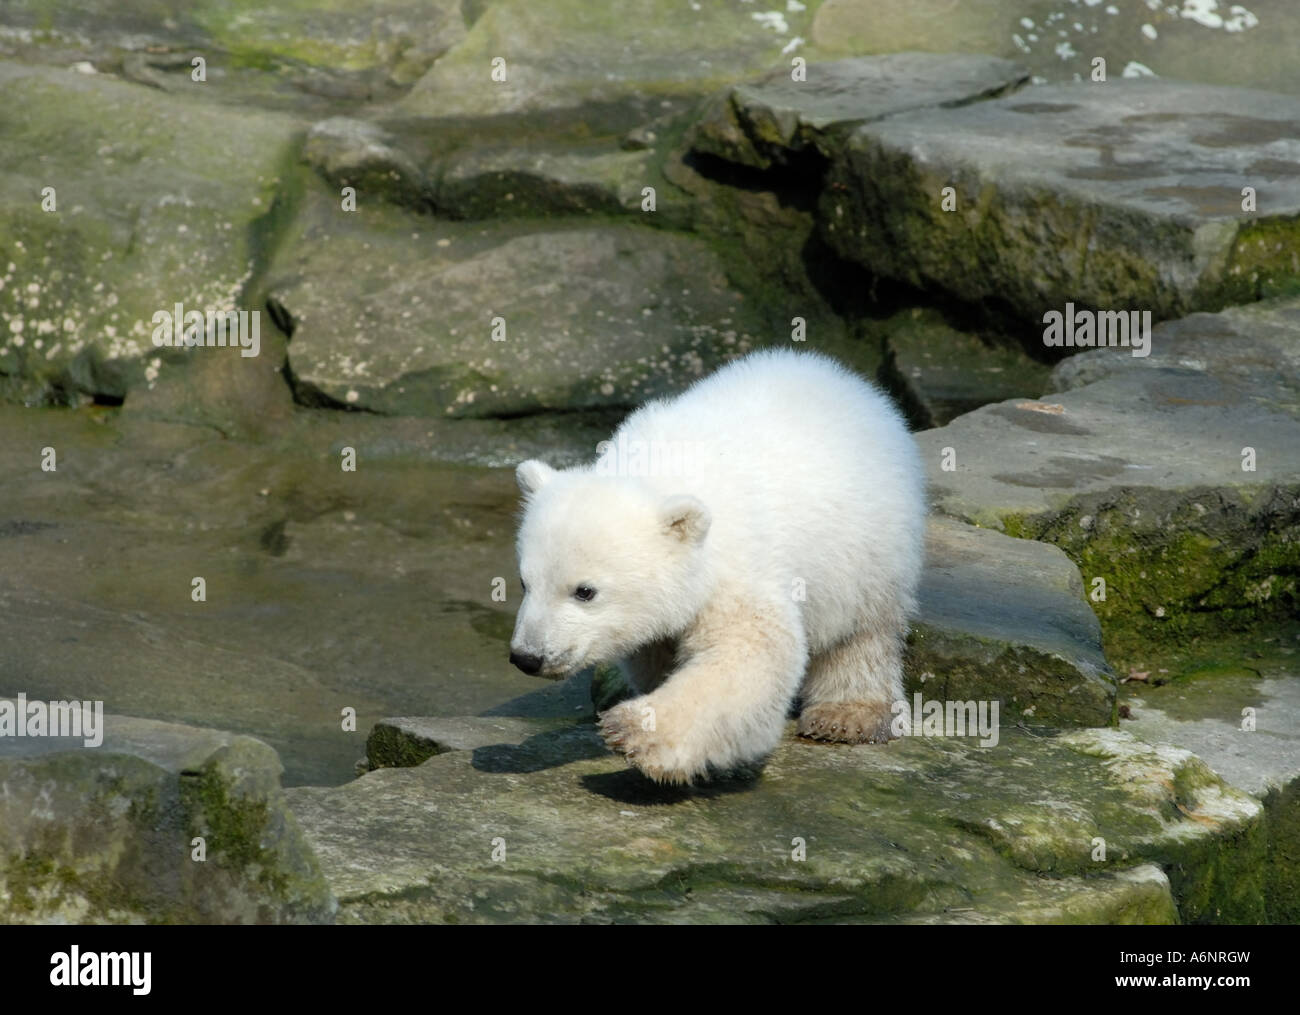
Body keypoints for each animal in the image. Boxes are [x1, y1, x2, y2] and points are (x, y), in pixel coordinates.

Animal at [509, 348, 926, 784]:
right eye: (524, 583)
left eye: (584, 591)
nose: (528, 656)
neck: (656, 475)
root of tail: (849, 380)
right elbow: (657, 646)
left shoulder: (734, 563)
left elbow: (750, 648)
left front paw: (635, 729)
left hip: (867, 546)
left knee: (862, 632)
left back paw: (847, 715)